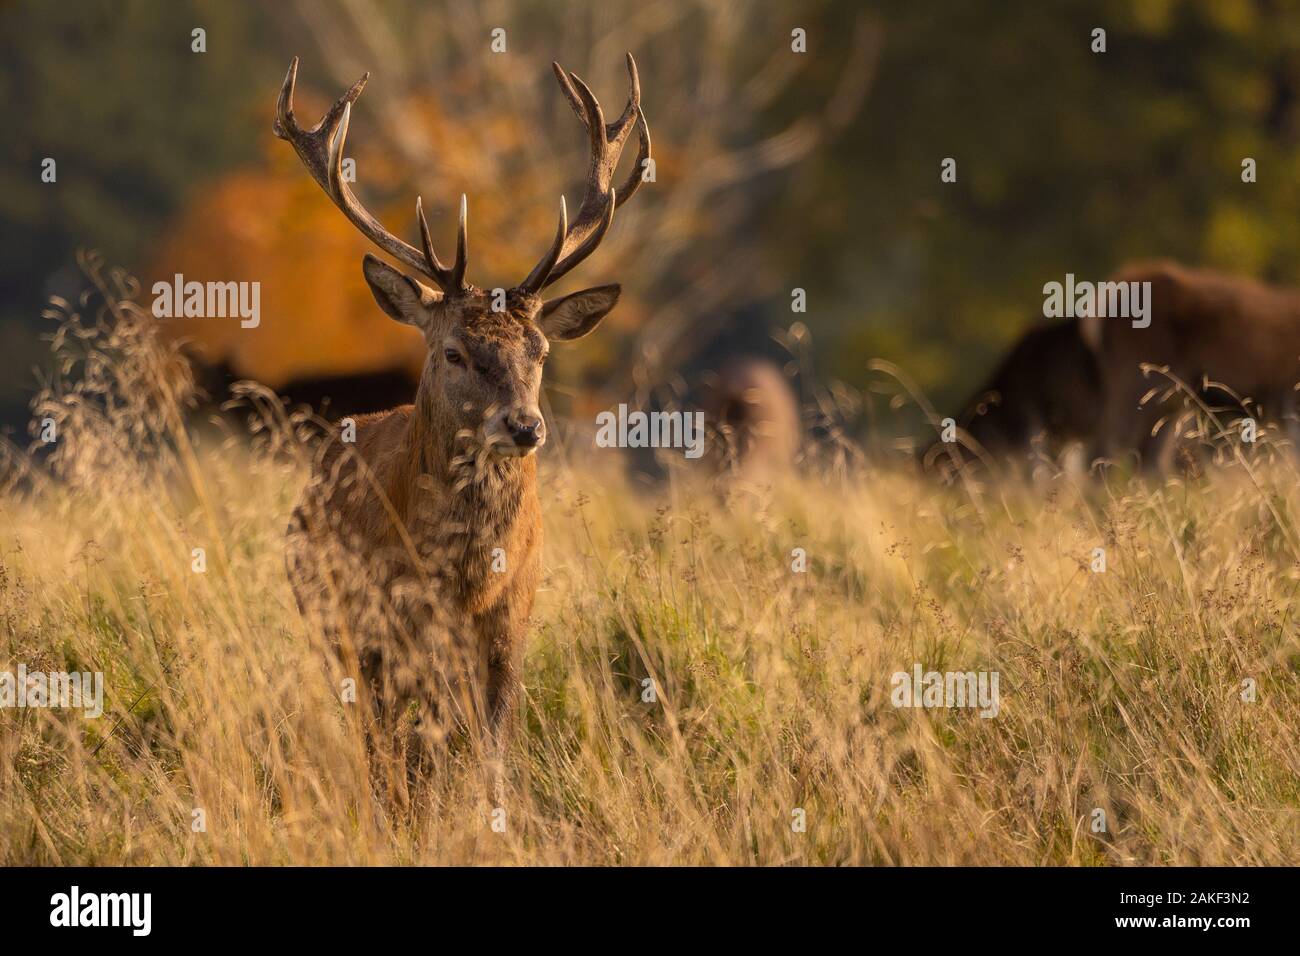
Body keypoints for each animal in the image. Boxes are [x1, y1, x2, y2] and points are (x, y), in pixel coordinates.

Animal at [277, 54, 651, 760]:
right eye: (453, 351)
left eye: (540, 350)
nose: (525, 426)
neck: (463, 585)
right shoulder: (376, 631)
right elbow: (387, 753)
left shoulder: (511, 626)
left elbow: (493, 749)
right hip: (328, 617)